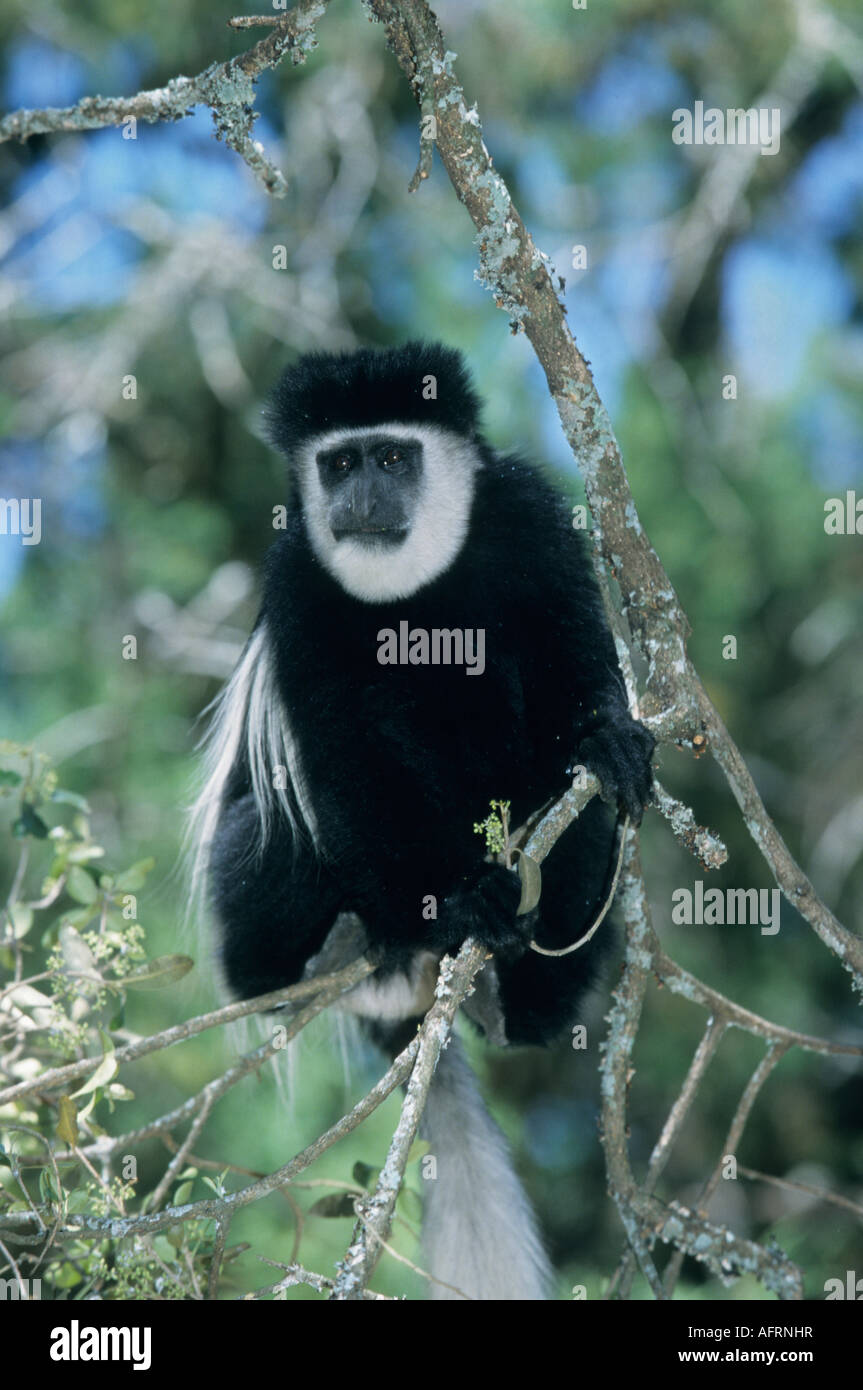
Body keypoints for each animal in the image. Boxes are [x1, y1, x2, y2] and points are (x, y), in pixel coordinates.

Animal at [189, 340, 654, 1300]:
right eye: (338, 464)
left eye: (393, 456)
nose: (359, 498)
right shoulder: (298, 585)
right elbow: (341, 755)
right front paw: (462, 903)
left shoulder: (528, 516)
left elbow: (571, 658)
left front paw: (605, 741)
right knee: (276, 827)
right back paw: (336, 952)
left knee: (569, 804)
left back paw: (520, 995)